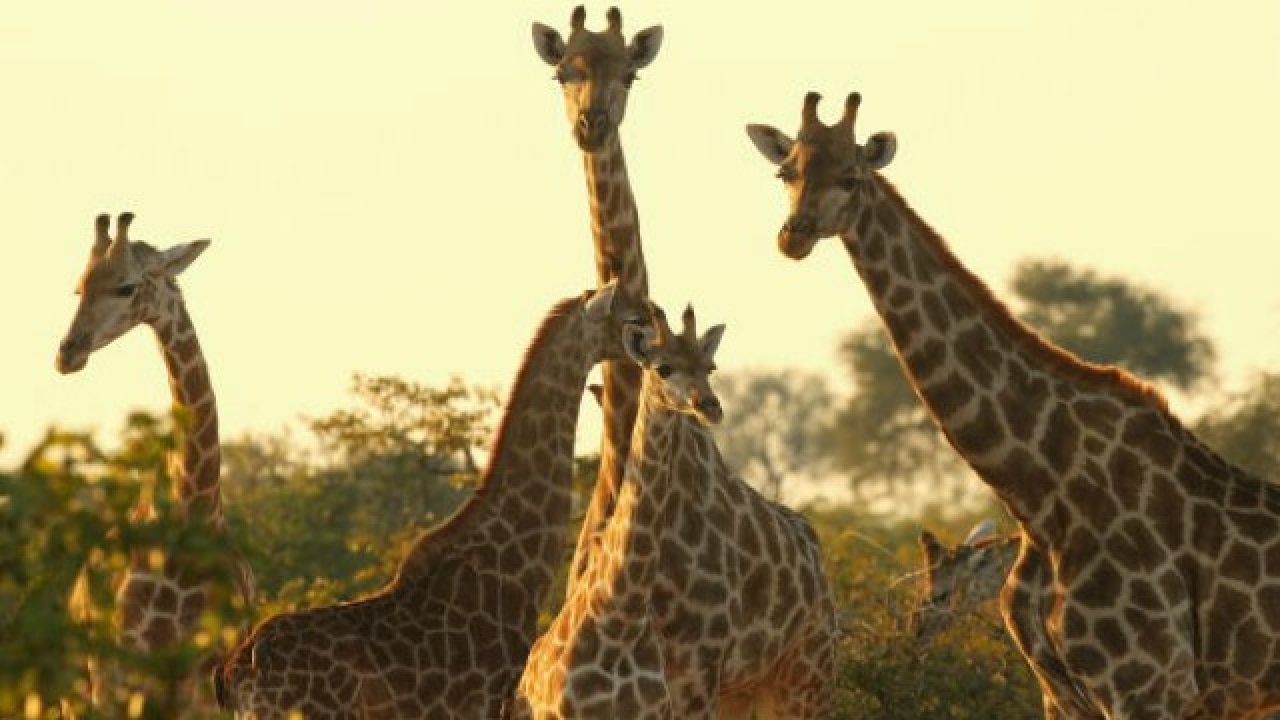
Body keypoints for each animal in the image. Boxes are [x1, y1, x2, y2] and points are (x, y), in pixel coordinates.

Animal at [55, 212, 254, 714]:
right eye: (79, 287)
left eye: (126, 287)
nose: (67, 353)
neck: (192, 517)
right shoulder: (120, 671)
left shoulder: (202, 681)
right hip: (77, 690)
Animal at [748, 90, 1280, 719]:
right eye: (786, 172)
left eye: (851, 178)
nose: (795, 234)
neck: (1041, 496)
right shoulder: (1060, 691)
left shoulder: (1150, 686)